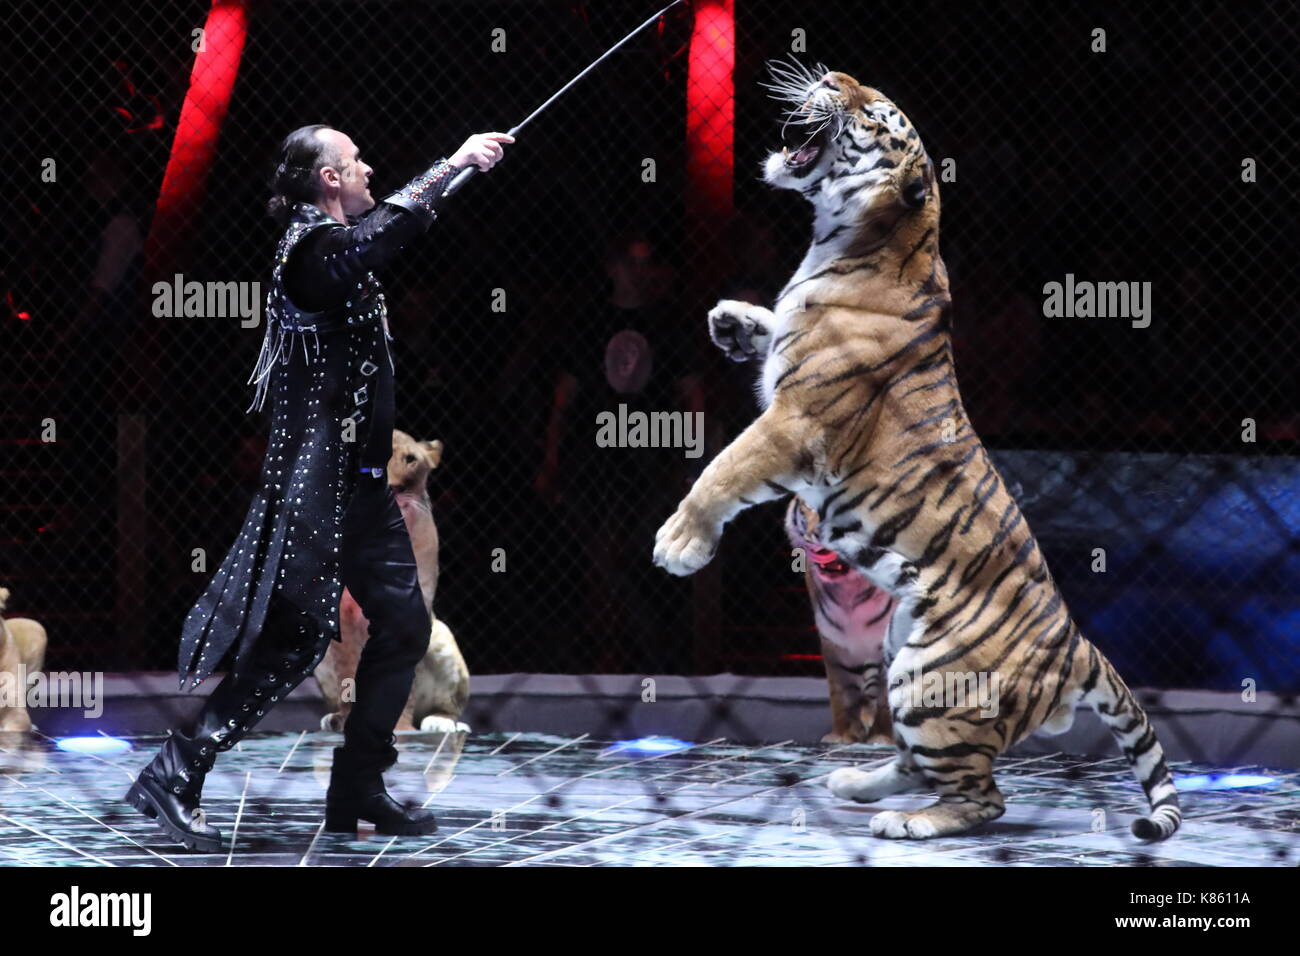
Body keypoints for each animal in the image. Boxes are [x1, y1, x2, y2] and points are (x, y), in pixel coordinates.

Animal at [653, 60, 1181, 841]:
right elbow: (766, 331)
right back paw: (857, 783)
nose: (834, 73)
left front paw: (679, 544)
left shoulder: (794, 422)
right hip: (901, 646)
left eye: (876, 113)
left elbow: (722, 471)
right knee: (920, 762)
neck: (844, 238)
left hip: (930, 676)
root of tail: (1077, 646)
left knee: (982, 796)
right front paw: (732, 320)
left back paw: (905, 823)